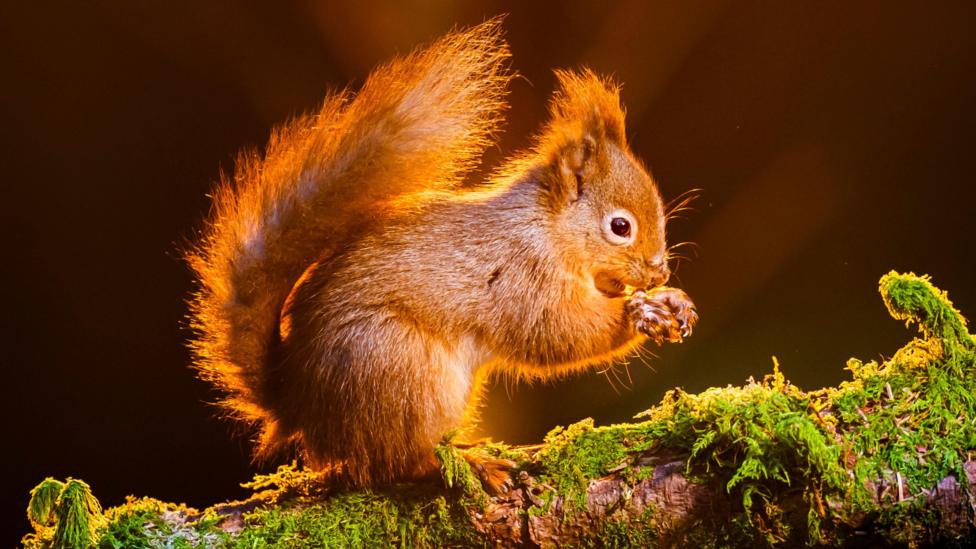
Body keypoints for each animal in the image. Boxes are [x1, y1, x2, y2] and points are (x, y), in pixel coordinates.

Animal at [187, 18, 697, 491]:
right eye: (620, 227)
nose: (658, 272)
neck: (548, 230)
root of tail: (298, 406)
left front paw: (673, 301)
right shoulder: (521, 277)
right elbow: (558, 333)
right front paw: (639, 313)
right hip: (404, 373)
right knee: (401, 461)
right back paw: (474, 464)